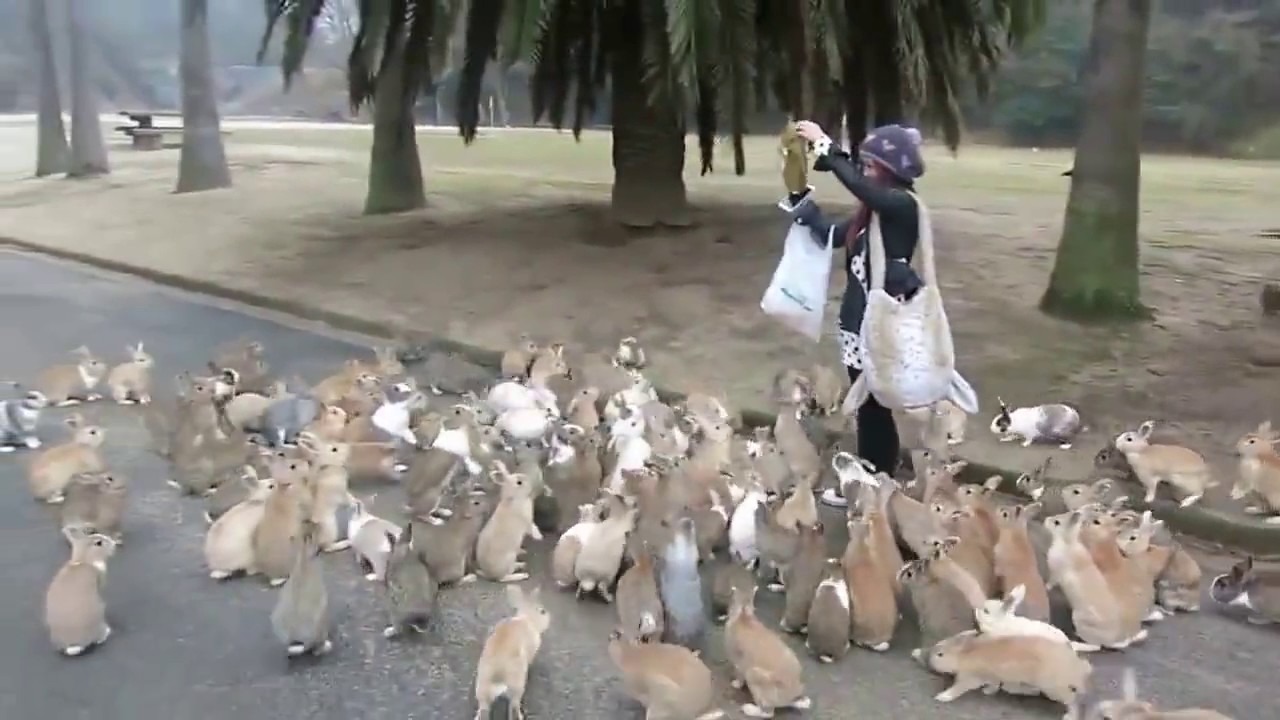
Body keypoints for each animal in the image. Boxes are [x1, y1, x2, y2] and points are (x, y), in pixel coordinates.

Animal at [44, 527, 117, 656]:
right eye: (99, 543)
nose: (114, 544)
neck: (84, 559)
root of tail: (73, 645)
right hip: (98, 613)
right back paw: (106, 632)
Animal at [271, 519, 332, 657]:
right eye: (314, 528)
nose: (319, 523)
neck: (303, 555)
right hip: (321, 618)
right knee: (315, 648)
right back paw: (325, 647)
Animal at [473, 584, 551, 720]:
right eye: (542, 611)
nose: (550, 617)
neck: (527, 618)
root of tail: (498, 680)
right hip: (517, 688)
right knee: (514, 707)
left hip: (482, 691)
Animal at [724, 584, 812, 718]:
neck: (743, 617)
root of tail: (789, 698)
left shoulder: (738, 663)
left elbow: (739, 675)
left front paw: (736, 684)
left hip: (754, 676)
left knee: (768, 713)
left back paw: (748, 709)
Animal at [921, 630, 1091, 716]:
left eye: (940, 654)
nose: (928, 659)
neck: (962, 656)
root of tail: (1074, 667)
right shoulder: (992, 675)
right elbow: (993, 684)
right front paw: (988, 691)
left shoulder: (970, 678)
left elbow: (958, 688)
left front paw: (942, 697)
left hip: (1053, 688)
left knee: (1073, 700)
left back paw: (1069, 716)